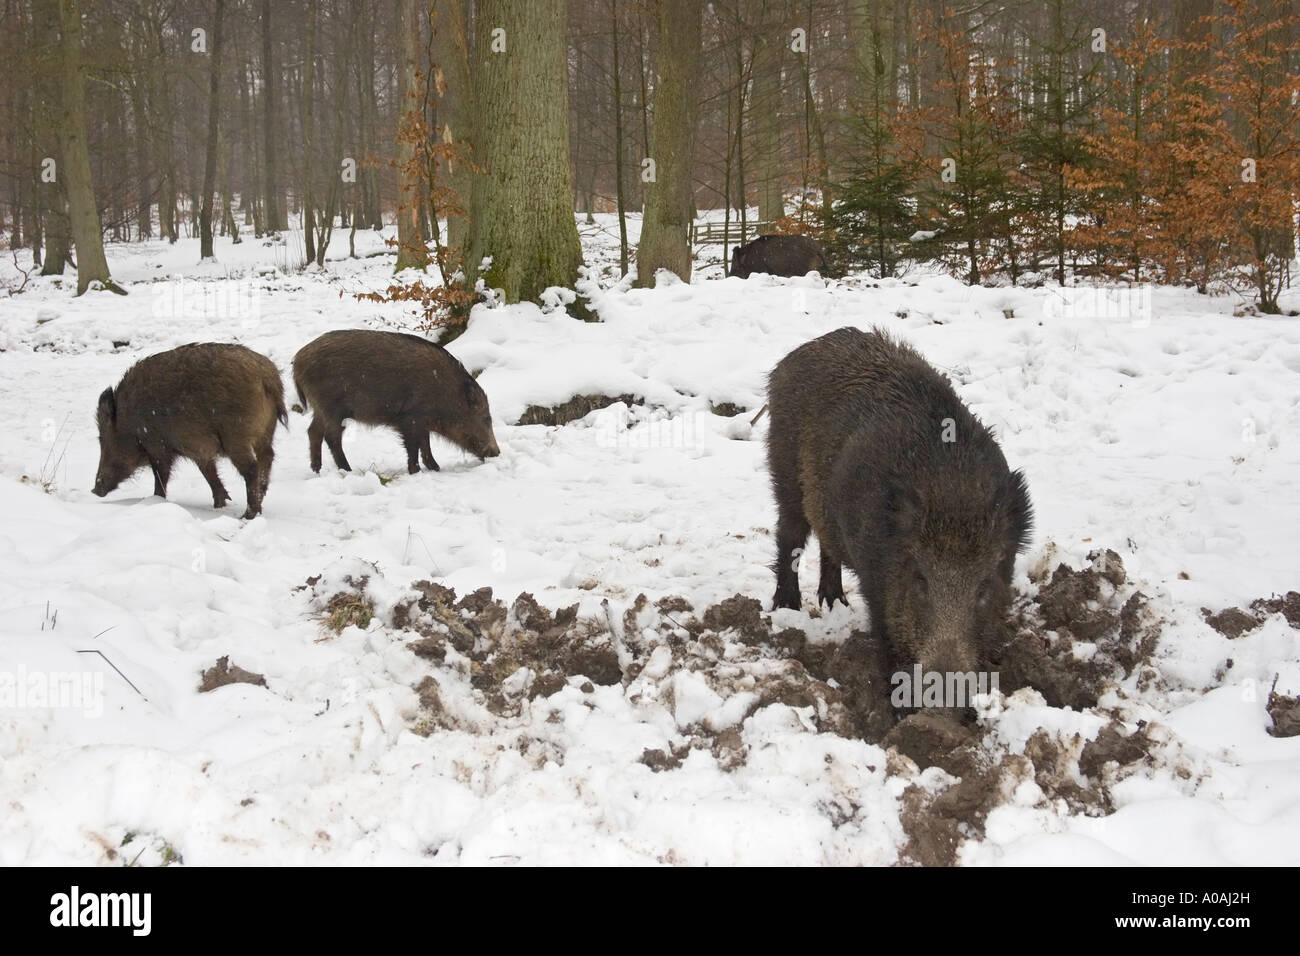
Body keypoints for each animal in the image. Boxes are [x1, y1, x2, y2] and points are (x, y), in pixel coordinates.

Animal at [93, 343, 288, 519]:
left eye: (102, 438)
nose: (94, 489)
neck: (129, 422)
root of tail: (268, 376)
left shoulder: (158, 446)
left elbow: (160, 476)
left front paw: (155, 501)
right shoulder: (198, 450)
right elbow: (209, 473)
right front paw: (219, 505)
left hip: (236, 436)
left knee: (252, 468)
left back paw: (247, 515)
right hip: (266, 433)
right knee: (267, 457)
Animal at [291, 329, 500, 475]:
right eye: (486, 418)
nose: (497, 452)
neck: (447, 393)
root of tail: (297, 360)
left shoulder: (422, 421)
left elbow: (425, 444)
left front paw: (435, 468)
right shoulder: (411, 417)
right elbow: (414, 446)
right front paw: (416, 471)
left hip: (321, 409)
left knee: (313, 431)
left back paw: (317, 469)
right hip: (332, 408)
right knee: (331, 437)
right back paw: (348, 470)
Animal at [766, 327, 1032, 720]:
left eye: (984, 586)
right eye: (920, 580)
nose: (945, 691)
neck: (954, 496)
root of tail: (796, 355)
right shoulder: (878, 590)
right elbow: (888, 642)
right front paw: (903, 716)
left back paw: (835, 603)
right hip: (783, 471)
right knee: (790, 535)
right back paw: (788, 607)